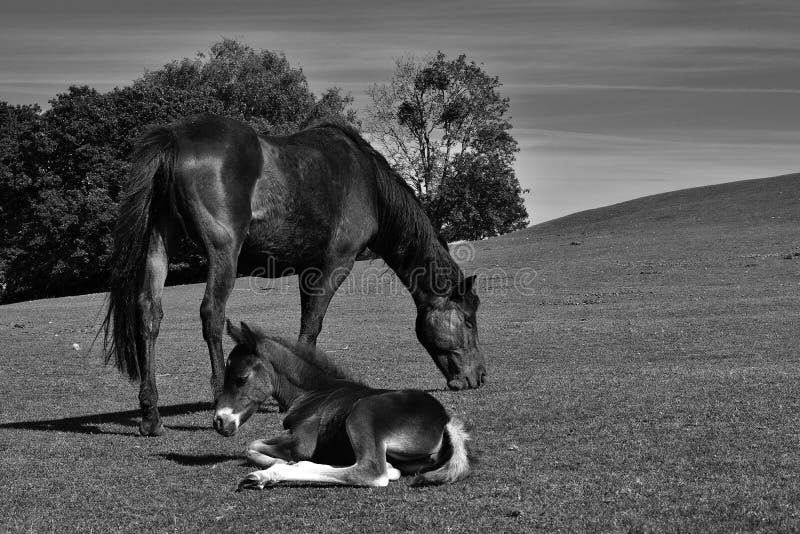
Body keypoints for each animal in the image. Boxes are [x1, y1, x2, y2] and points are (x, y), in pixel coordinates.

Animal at [101, 113, 485, 437]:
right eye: (468, 321)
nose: (478, 377)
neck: (368, 183)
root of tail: (175, 136)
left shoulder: (307, 270)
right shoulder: (334, 265)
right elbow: (310, 327)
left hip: (158, 242)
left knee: (149, 314)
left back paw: (151, 415)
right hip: (223, 252)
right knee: (212, 314)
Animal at [214, 320, 472, 488]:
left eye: (241, 378)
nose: (219, 421)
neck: (315, 391)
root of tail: (445, 422)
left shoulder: (302, 443)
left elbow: (251, 446)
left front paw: (279, 462)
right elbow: (254, 445)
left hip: (363, 413)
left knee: (372, 473)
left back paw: (266, 475)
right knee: (388, 469)